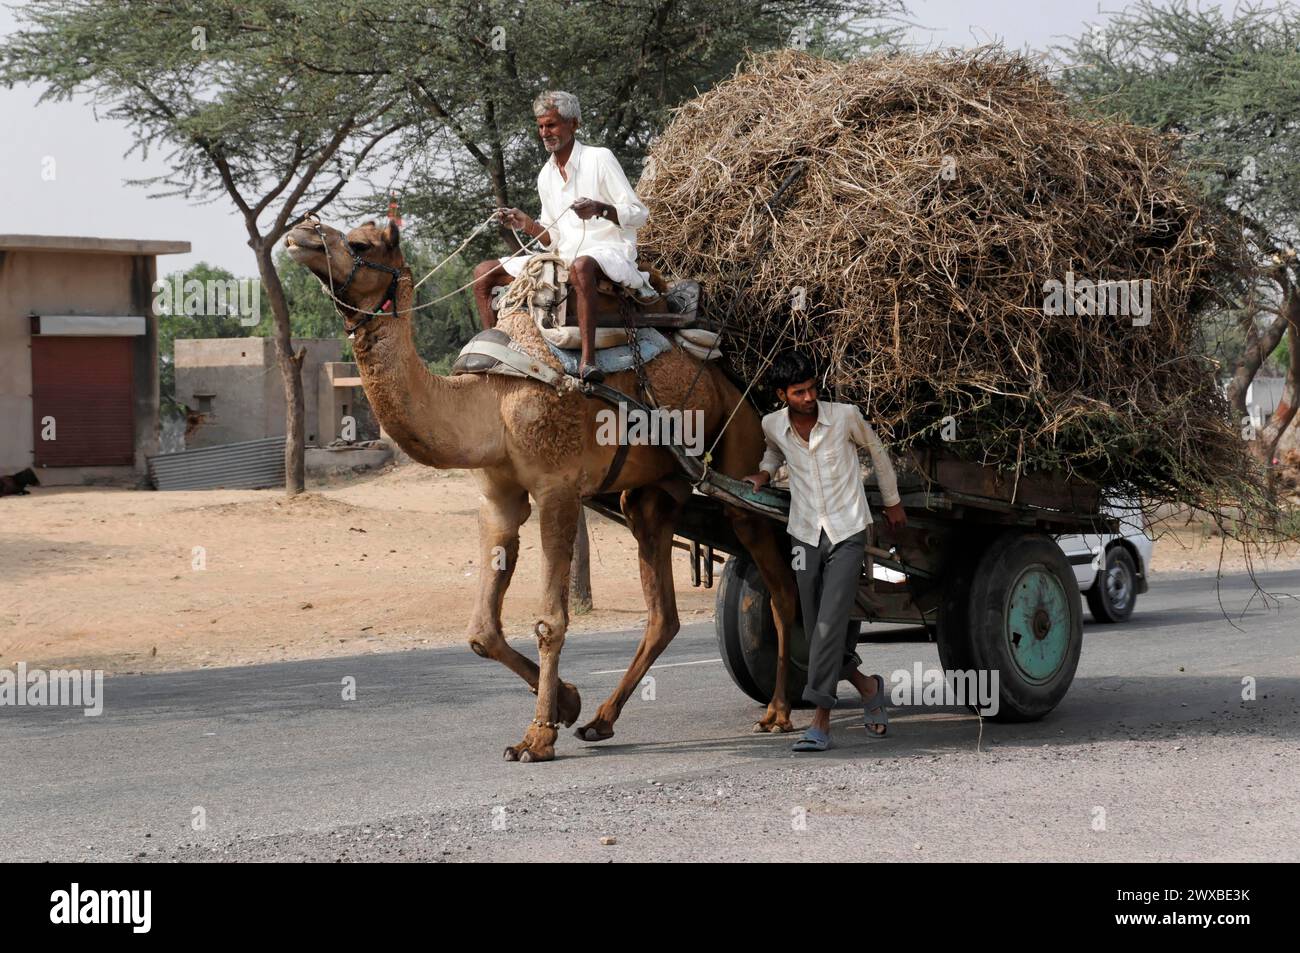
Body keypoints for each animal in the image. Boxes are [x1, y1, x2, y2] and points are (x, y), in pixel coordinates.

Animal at [285, 216, 799, 762]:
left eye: (360, 243)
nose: (299, 234)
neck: (491, 397)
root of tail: (730, 376)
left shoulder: (557, 488)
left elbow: (550, 621)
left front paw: (536, 736)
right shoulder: (498, 498)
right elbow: (481, 631)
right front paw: (568, 703)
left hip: (741, 445)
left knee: (778, 584)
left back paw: (779, 712)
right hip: (655, 490)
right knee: (665, 612)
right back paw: (600, 721)